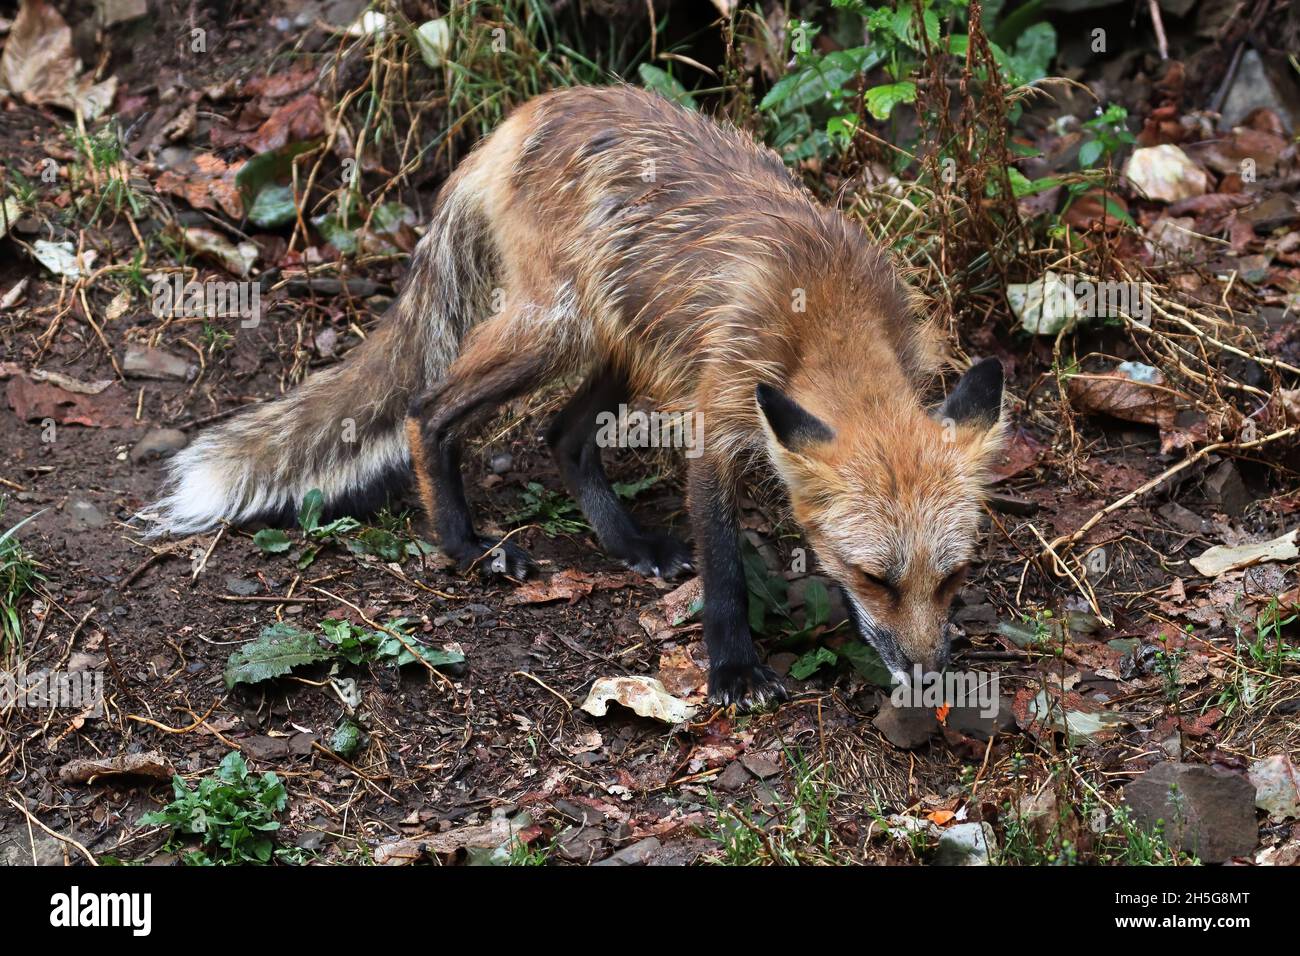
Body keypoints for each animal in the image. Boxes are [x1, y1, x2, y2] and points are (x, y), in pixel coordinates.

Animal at [148, 85, 1006, 708]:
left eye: (952, 577)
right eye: (875, 579)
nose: (929, 675)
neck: (825, 310)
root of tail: (531, 109)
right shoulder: (718, 418)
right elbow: (723, 564)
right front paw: (732, 667)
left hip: (624, 341)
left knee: (561, 434)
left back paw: (627, 546)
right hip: (558, 330)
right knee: (429, 409)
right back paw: (465, 545)